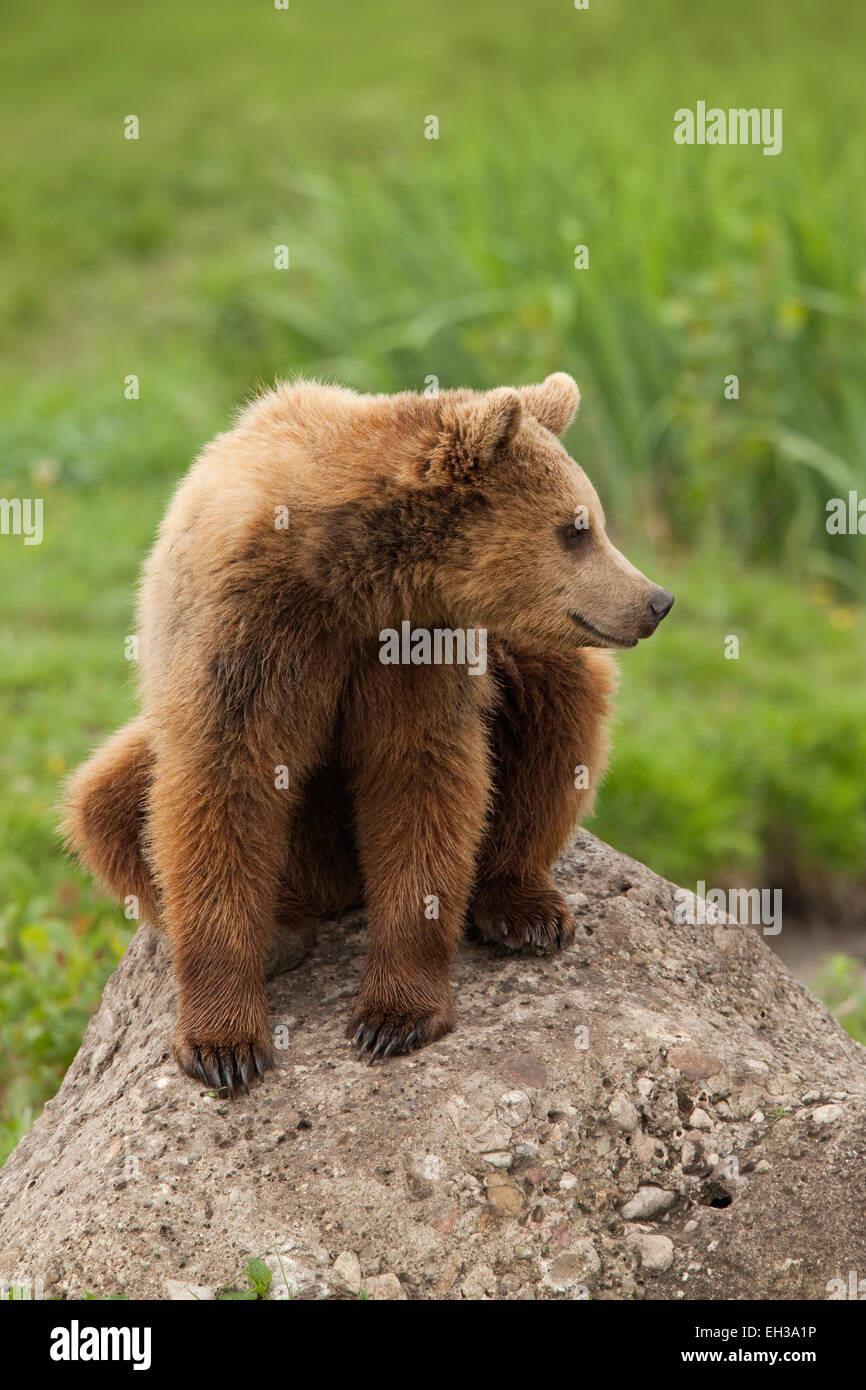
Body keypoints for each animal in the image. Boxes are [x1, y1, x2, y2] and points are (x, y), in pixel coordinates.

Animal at [61, 373, 673, 1097]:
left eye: (593, 521)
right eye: (576, 528)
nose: (656, 600)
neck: (348, 576)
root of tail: (335, 886)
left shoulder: (414, 648)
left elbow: (421, 785)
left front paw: (392, 1017)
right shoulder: (240, 638)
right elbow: (221, 791)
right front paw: (225, 1045)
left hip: (515, 654)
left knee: (561, 691)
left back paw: (522, 907)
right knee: (105, 801)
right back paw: (281, 928)